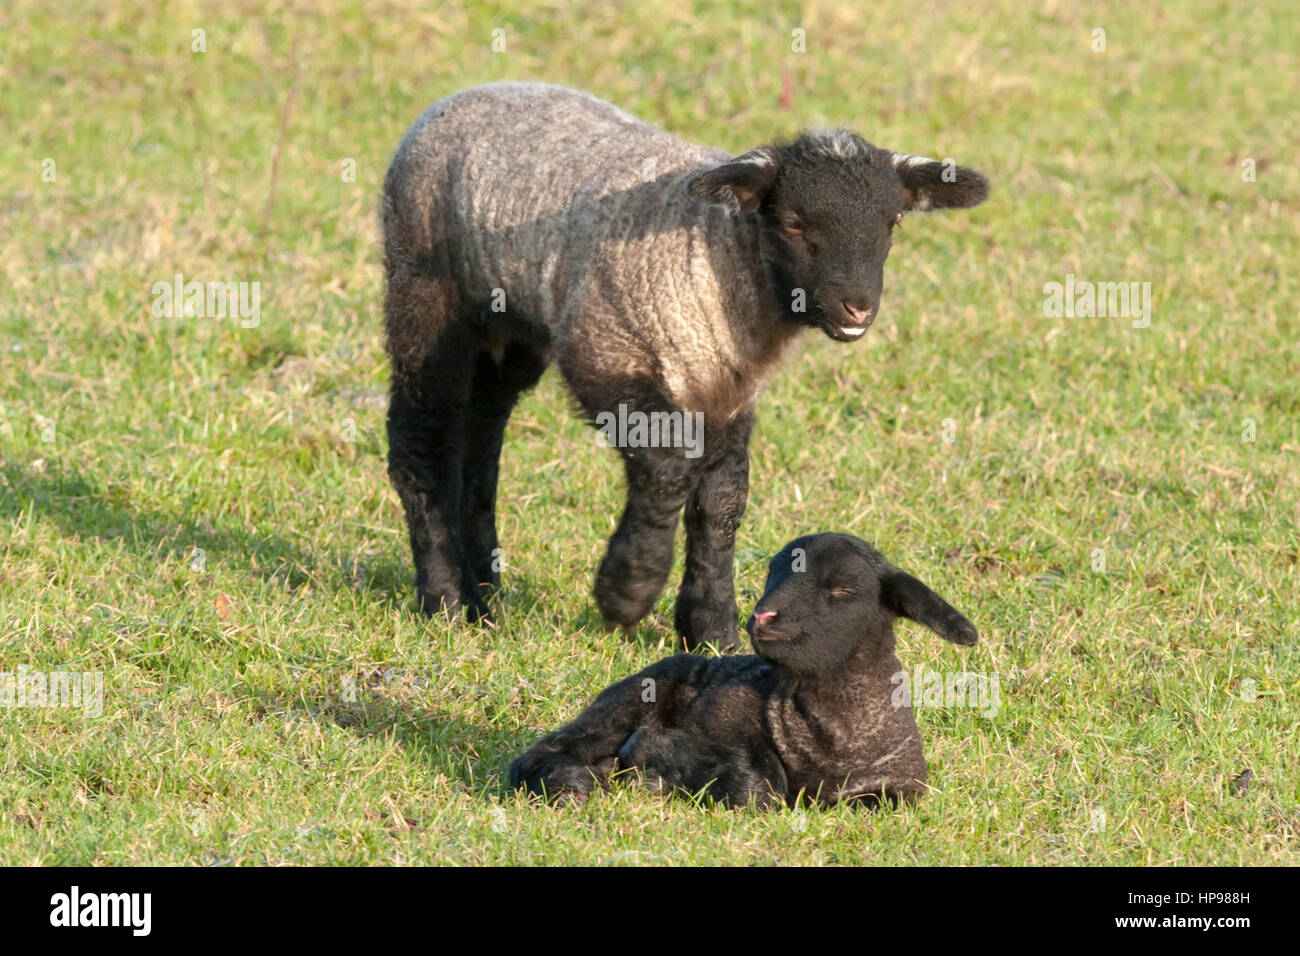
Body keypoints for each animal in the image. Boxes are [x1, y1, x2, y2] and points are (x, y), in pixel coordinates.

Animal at [382, 82, 989, 647]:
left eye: (892, 222)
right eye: (794, 222)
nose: (857, 308)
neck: (720, 256)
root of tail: (459, 97)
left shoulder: (725, 389)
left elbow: (723, 501)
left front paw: (711, 630)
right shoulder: (606, 351)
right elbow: (669, 469)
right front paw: (627, 589)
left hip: (508, 332)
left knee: (482, 439)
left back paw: (487, 592)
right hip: (424, 296)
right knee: (422, 440)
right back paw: (447, 601)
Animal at [509, 532, 979, 808]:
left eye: (842, 588)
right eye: (773, 572)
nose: (762, 616)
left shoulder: (902, 787)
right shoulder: (721, 721)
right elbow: (756, 784)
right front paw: (656, 763)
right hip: (632, 697)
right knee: (546, 750)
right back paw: (573, 784)